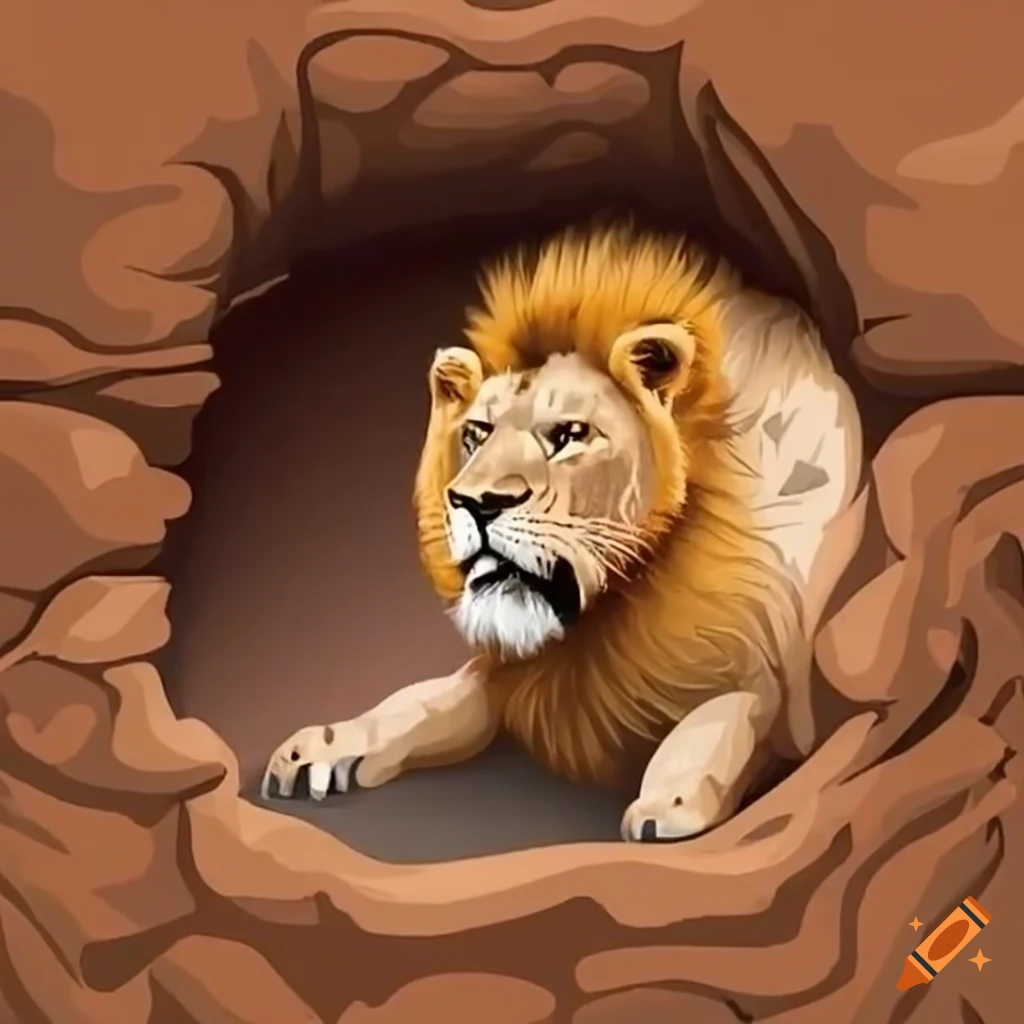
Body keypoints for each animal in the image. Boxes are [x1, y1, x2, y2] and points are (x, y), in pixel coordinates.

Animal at [261, 221, 863, 842]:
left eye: (570, 435)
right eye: (476, 433)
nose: (474, 503)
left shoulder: (766, 673)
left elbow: (721, 718)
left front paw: (668, 801)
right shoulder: (510, 673)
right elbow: (416, 705)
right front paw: (326, 745)